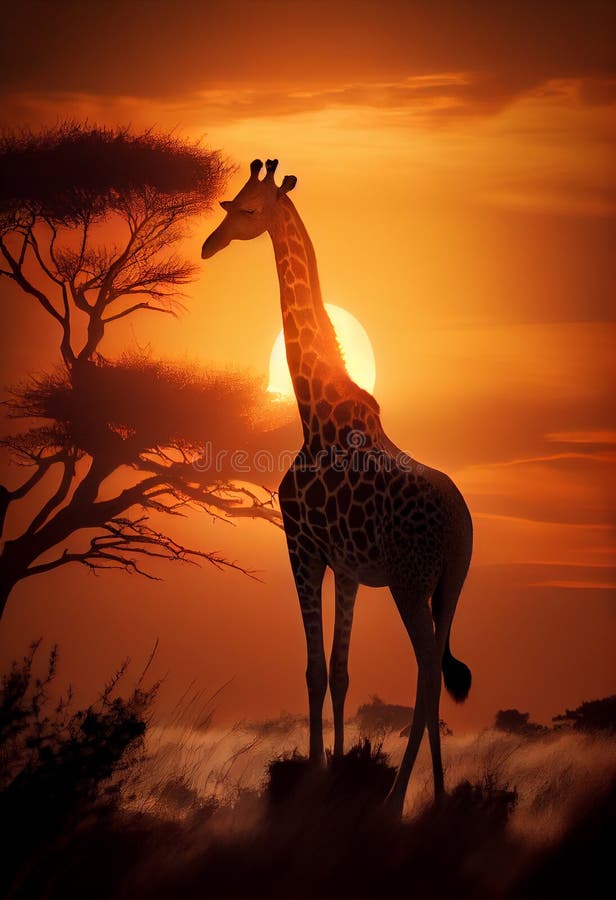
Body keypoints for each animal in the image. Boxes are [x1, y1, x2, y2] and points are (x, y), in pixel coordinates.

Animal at [201, 159, 473, 815]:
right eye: (231, 201)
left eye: (248, 210)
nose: (208, 245)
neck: (313, 412)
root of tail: (463, 526)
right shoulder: (347, 567)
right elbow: (343, 670)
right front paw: (342, 766)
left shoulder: (301, 548)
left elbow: (314, 670)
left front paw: (319, 774)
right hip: (450, 585)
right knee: (435, 673)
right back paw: (438, 797)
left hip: (409, 582)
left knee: (427, 672)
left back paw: (396, 801)